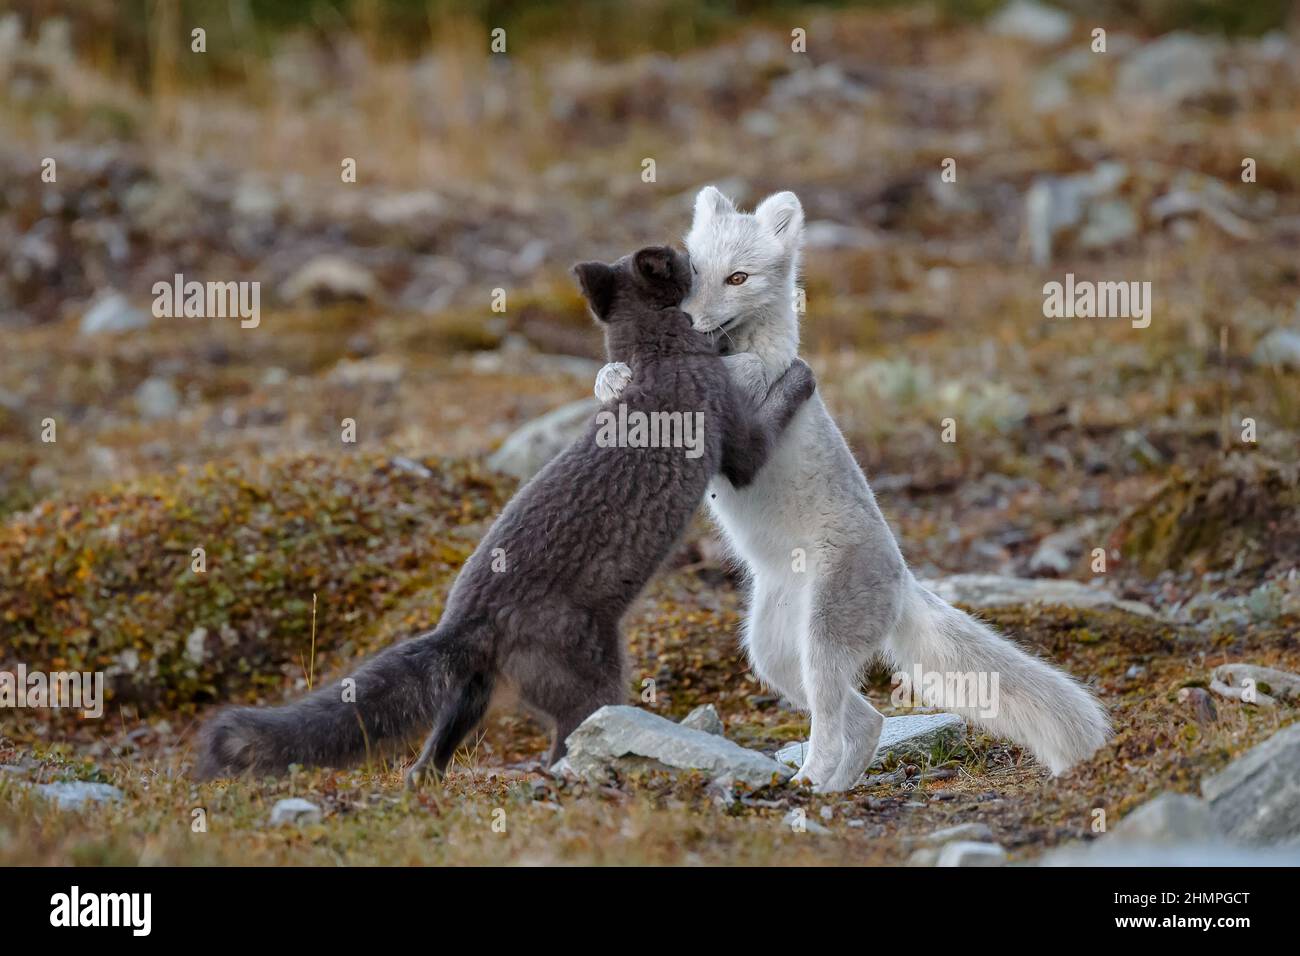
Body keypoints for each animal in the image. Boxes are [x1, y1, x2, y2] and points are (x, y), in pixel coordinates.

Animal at [195, 245, 816, 786]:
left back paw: (426, 782)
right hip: (595, 678)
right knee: (567, 741)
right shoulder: (734, 440)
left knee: (431, 754)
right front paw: (803, 375)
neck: (658, 356)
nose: (707, 259)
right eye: (689, 260)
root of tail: (466, 622)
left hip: (473, 693)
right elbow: (768, 424)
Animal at [595, 188, 1110, 792]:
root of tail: (905, 580)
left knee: (838, 722)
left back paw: (809, 782)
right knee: (864, 720)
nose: (694, 326)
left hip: (821, 639)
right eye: (694, 272)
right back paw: (831, 791)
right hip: (773, 652)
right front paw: (612, 378)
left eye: (738, 278)